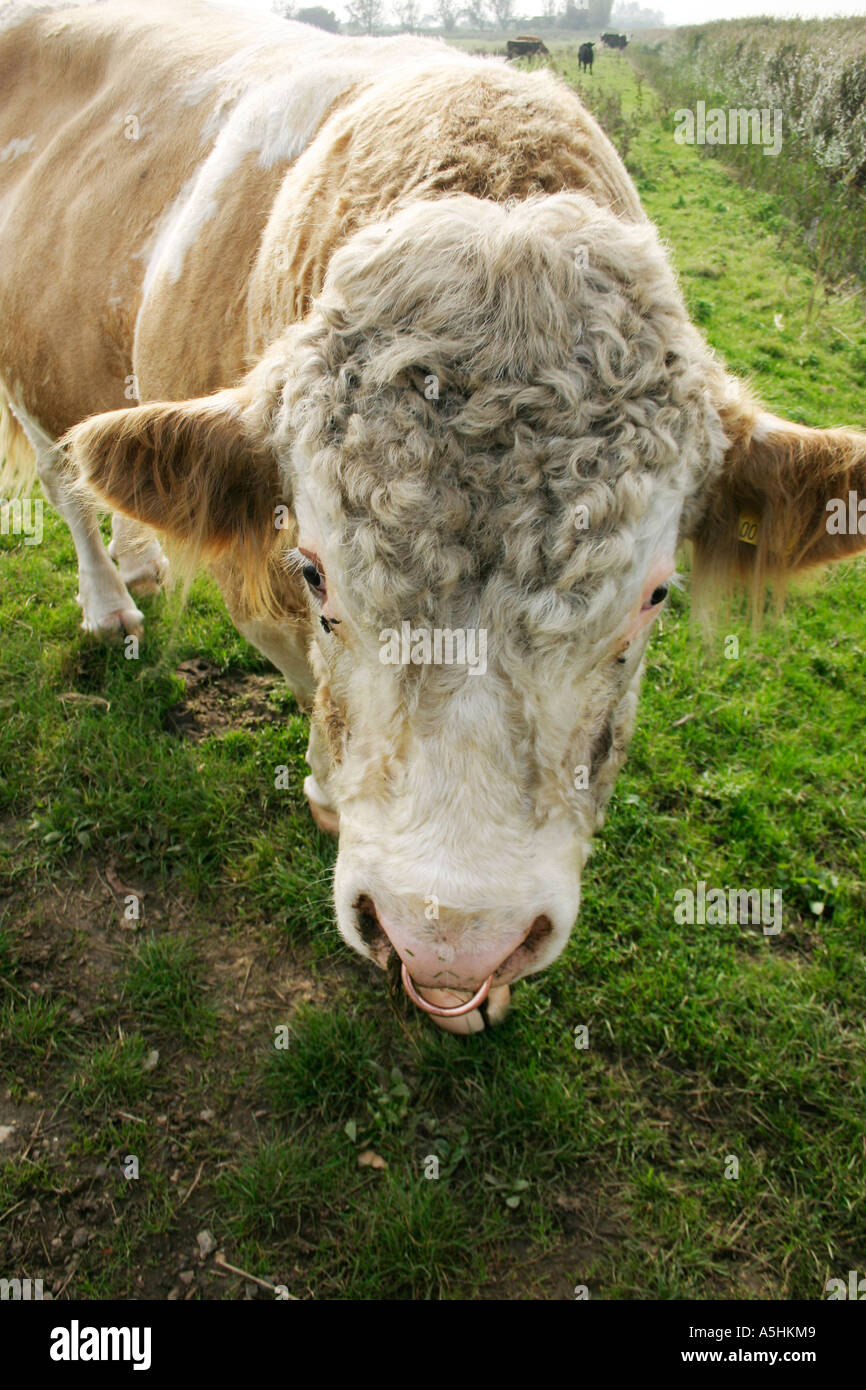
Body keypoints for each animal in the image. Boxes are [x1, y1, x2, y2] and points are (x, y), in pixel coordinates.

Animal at [2, 1, 865, 1035]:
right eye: (313, 573)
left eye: (656, 595)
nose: (451, 945)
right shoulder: (258, 587)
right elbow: (313, 691)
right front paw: (326, 788)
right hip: (27, 361)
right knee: (64, 477)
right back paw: (109, 603)